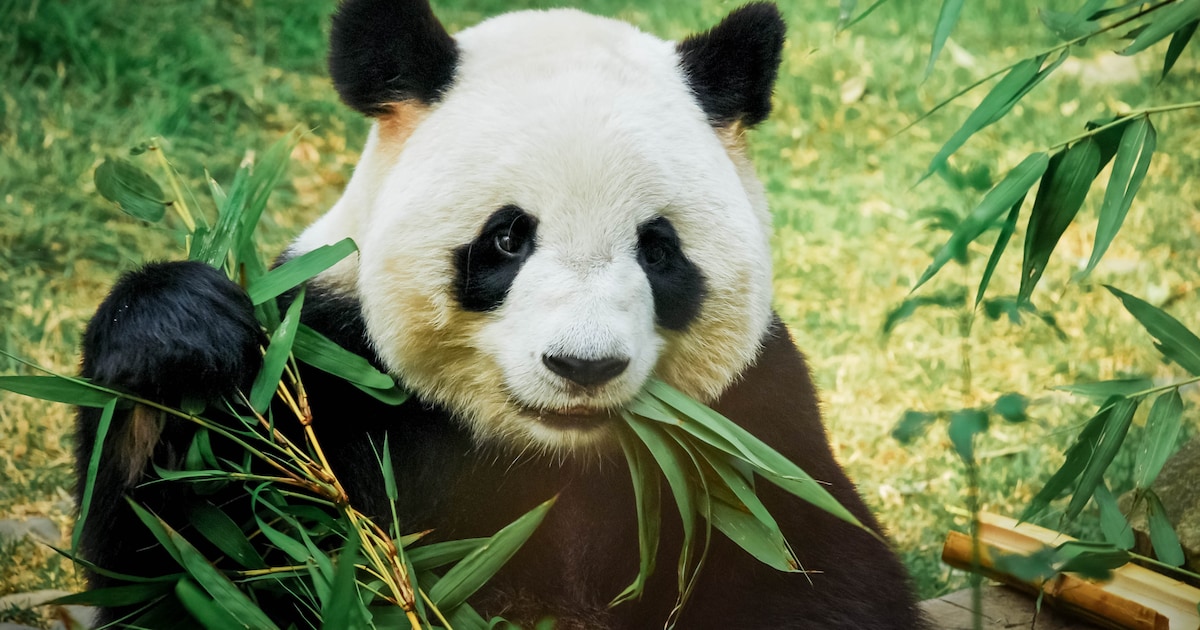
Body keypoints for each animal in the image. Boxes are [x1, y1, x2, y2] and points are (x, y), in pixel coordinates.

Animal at [75, 0, 926, 628]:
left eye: (658, 251)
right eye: (508, 239)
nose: (584, 366)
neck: (547, 453)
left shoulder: (749, 419)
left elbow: (820, 567)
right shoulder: (330, 365)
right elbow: (196, 561)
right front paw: (176, 340)